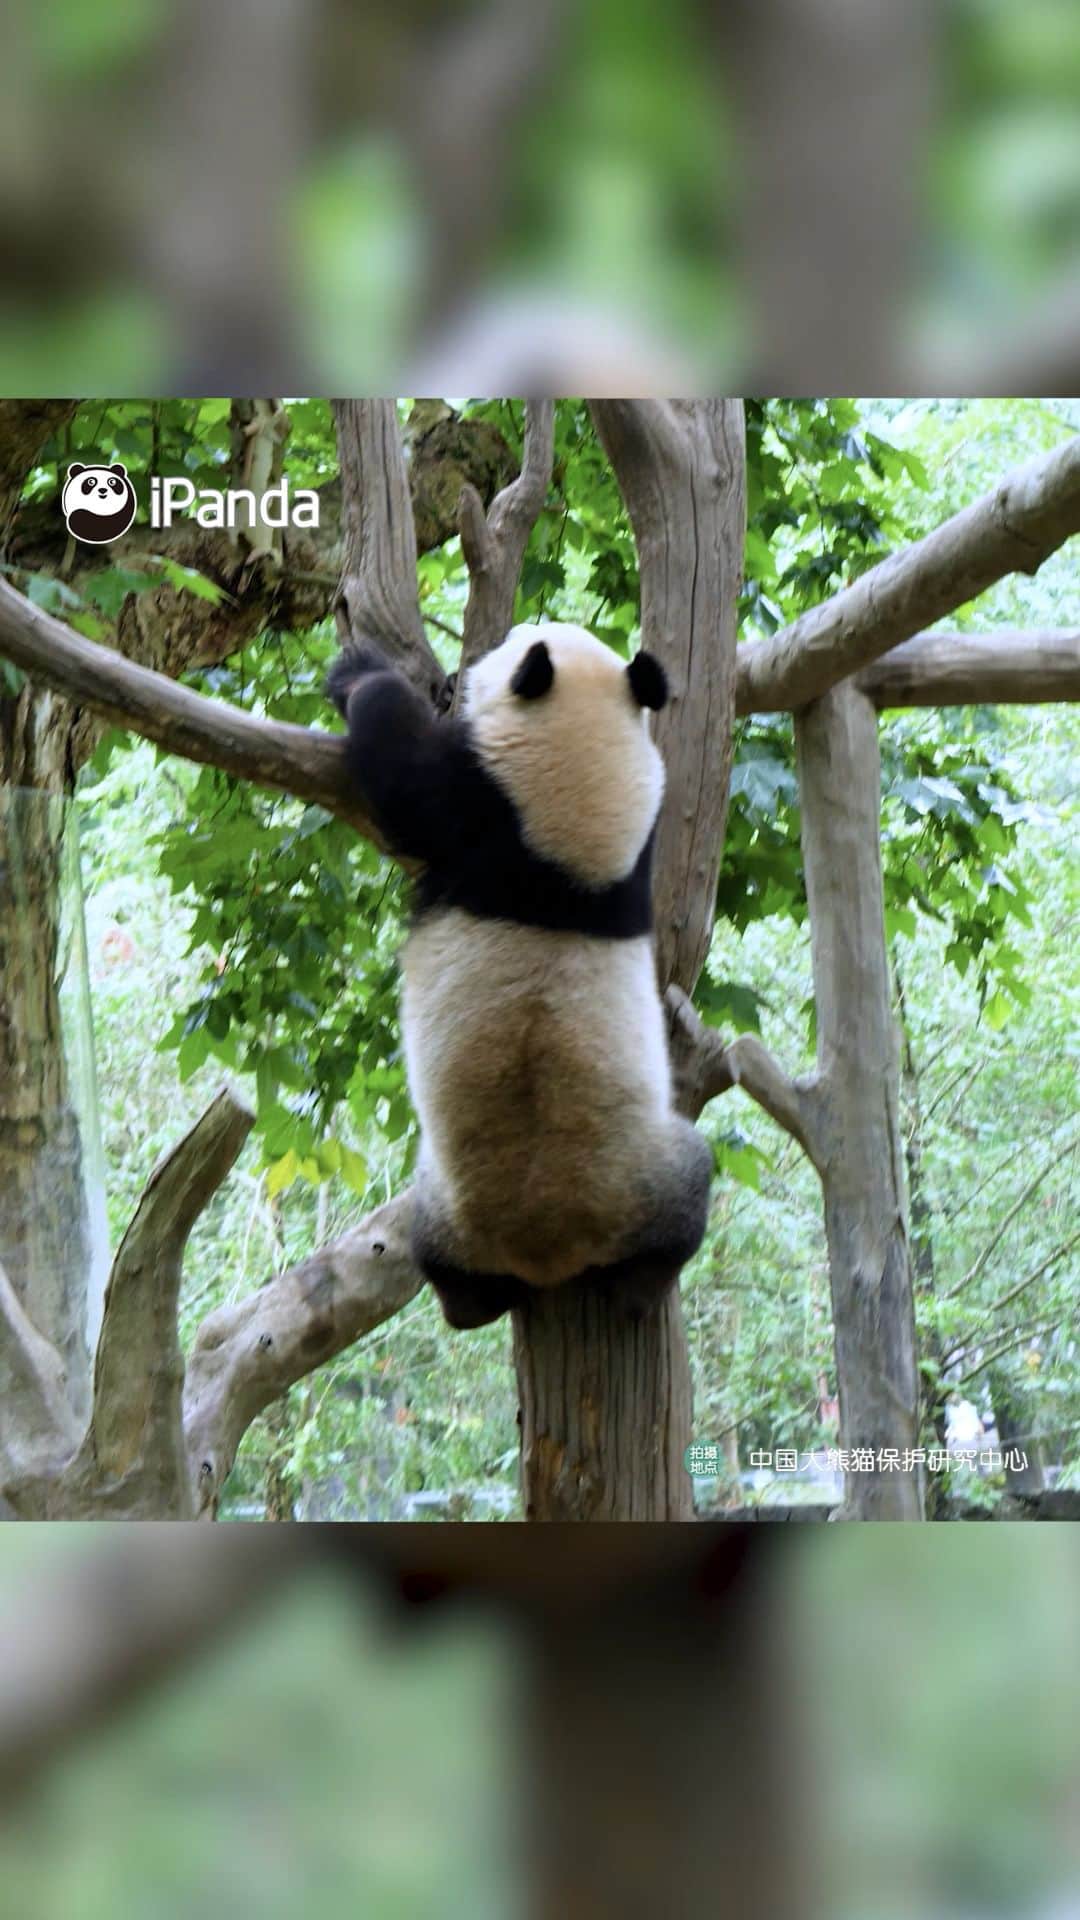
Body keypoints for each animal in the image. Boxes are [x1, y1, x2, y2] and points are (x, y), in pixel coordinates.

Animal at [327, 621, 713, 1329]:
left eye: (516, 635)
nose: (512, 629)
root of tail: (546, 1249)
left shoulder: (476, 797)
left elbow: (399, 778)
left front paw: (360, 672)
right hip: (453, 1204)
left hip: (632, 1177)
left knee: (690, 1178)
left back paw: (631, 1284)